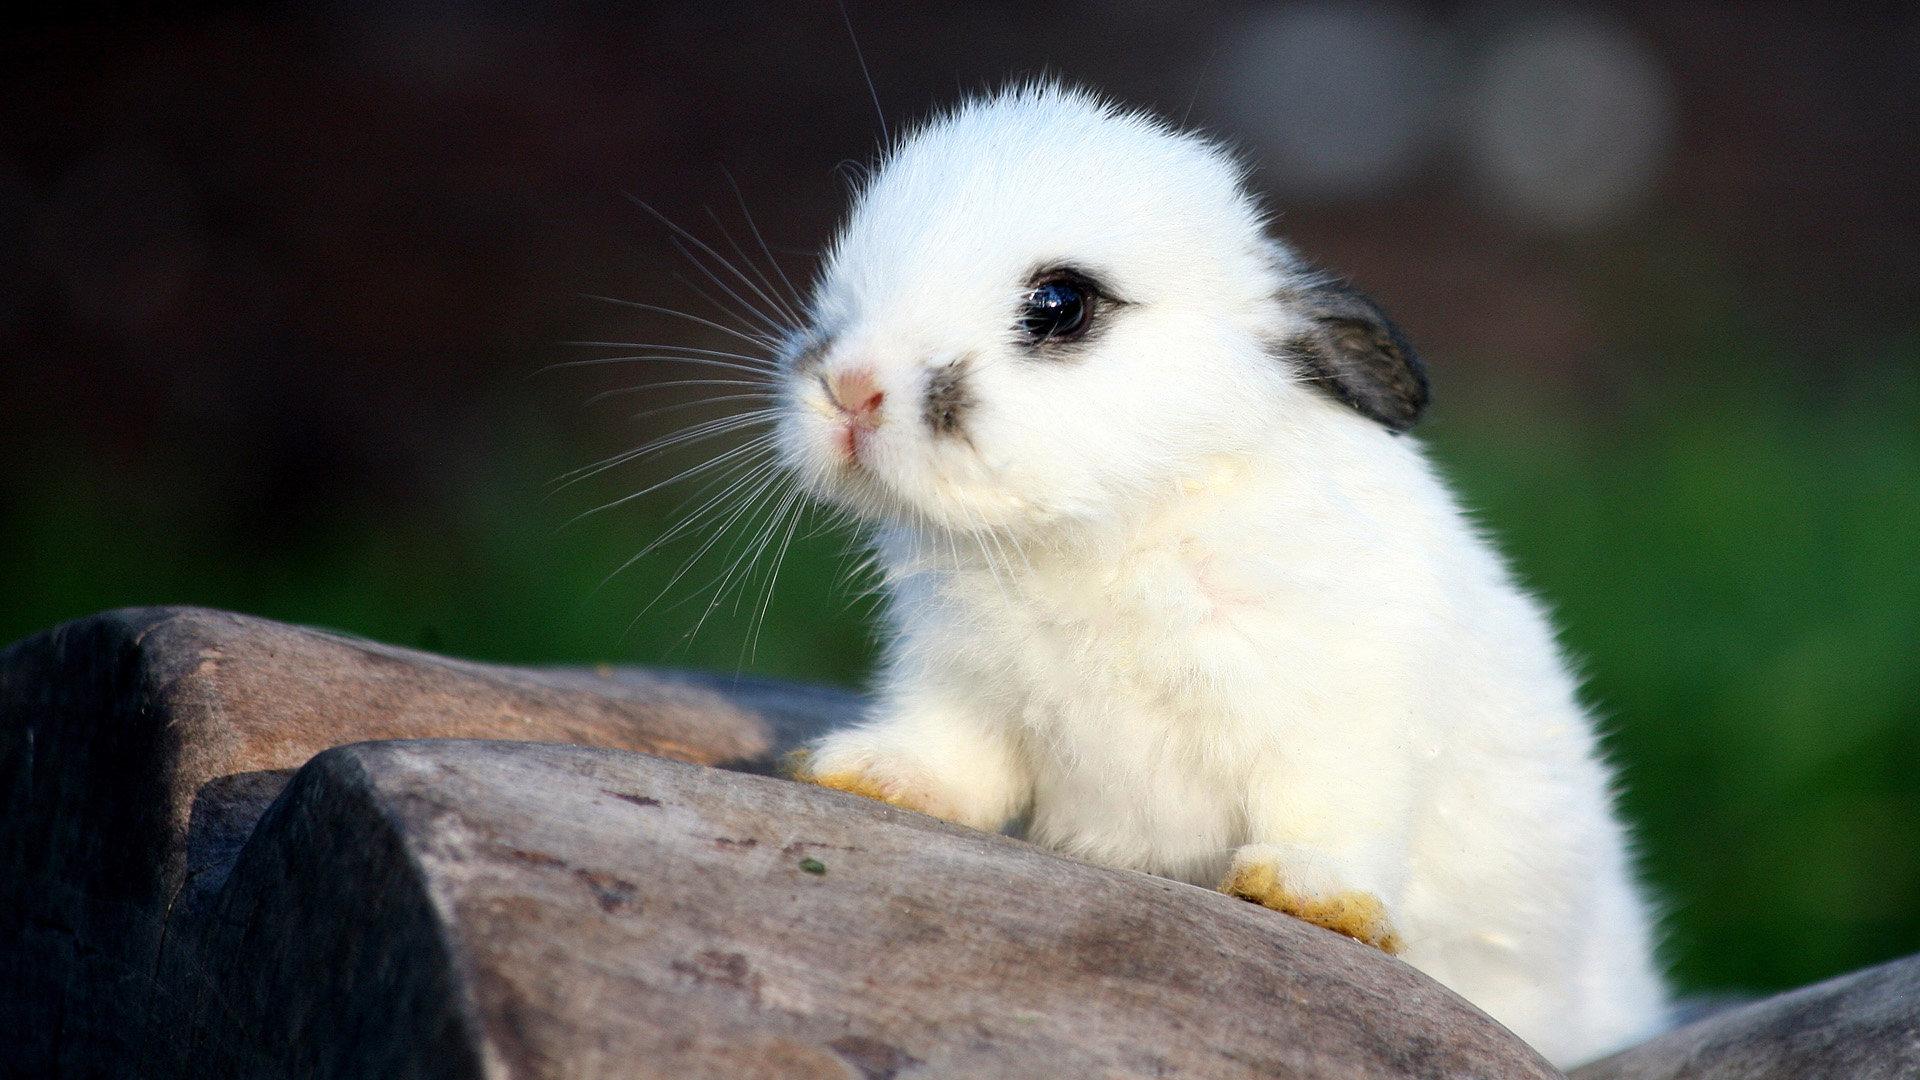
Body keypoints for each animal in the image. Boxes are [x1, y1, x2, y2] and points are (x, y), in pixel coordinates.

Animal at [764, 83, 1667, 1067]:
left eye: (1059, 304)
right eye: (846, 277)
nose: (850, 390)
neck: (1107, 530)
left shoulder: (1341, 713)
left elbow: (1331, 811)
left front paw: (1307, 896)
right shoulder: (961, 687)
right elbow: (952, 759)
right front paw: (867, 773)